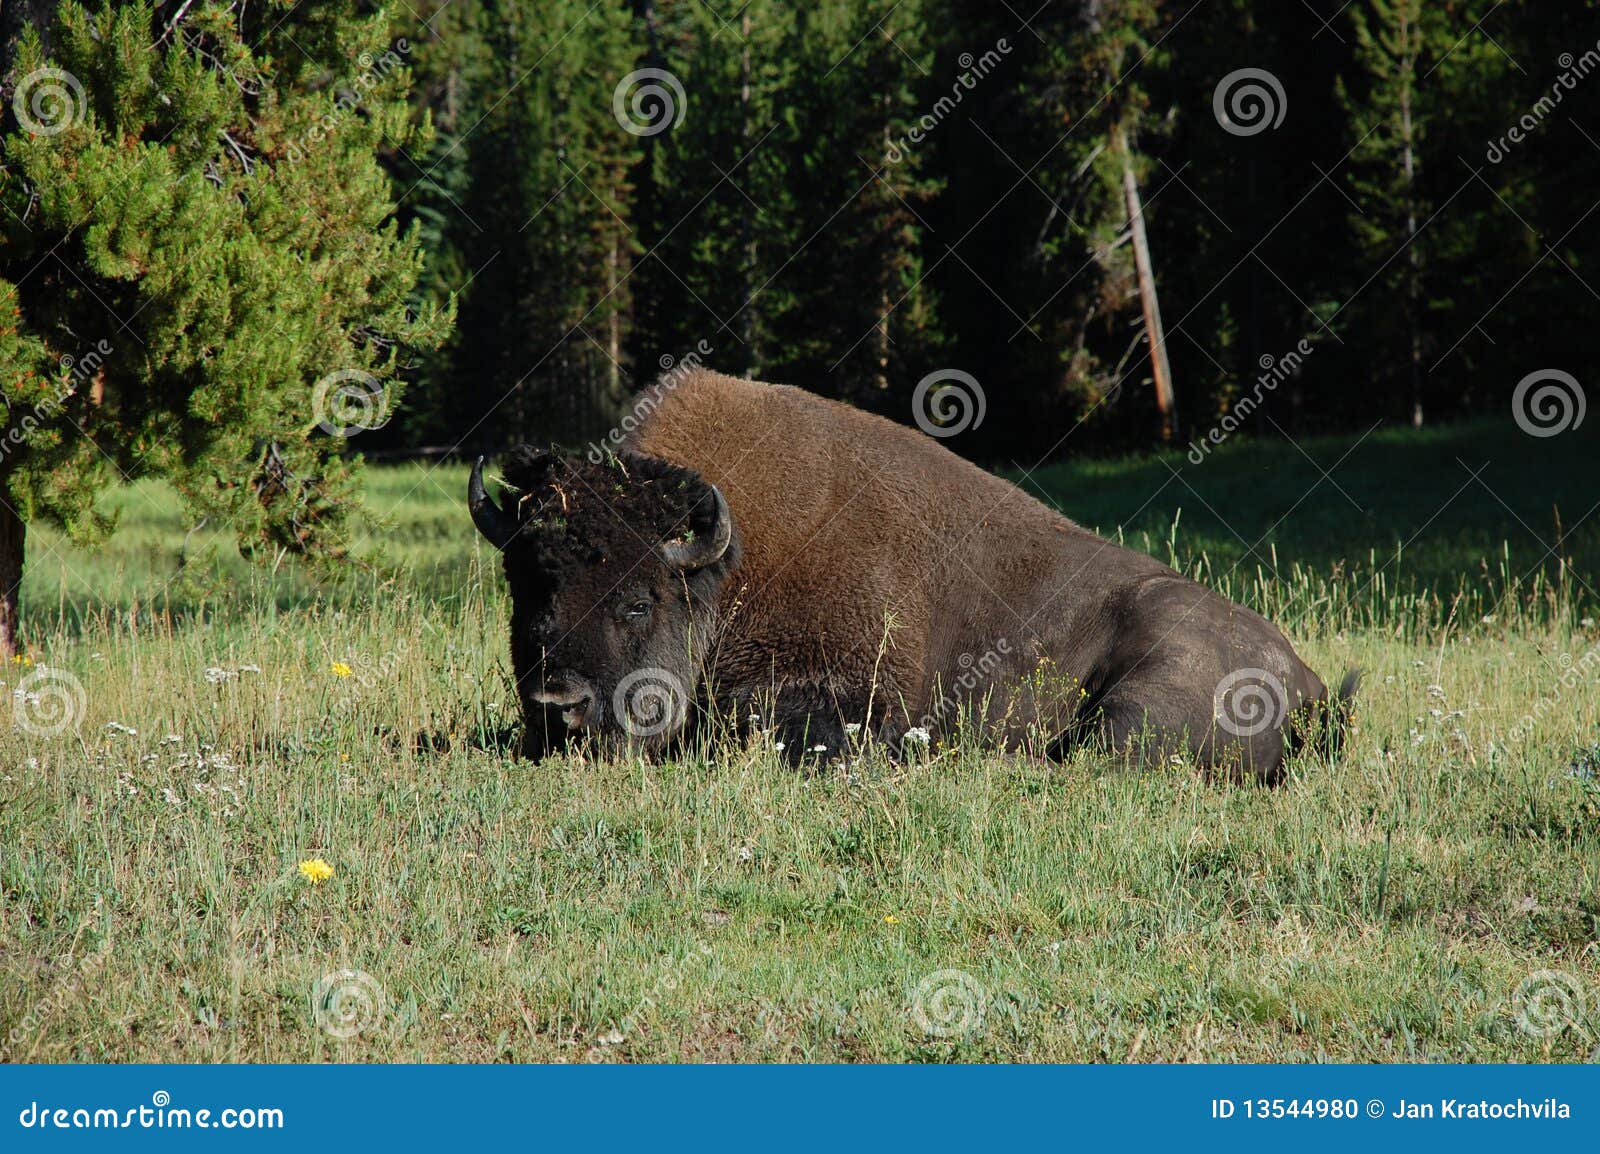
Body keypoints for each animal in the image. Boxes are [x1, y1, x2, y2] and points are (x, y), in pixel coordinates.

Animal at [469, 369, 1357, 781]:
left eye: (637, 601)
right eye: (527, 588)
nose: (555, 707)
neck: (732, 565)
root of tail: (1309, 680)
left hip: (1134, 711)